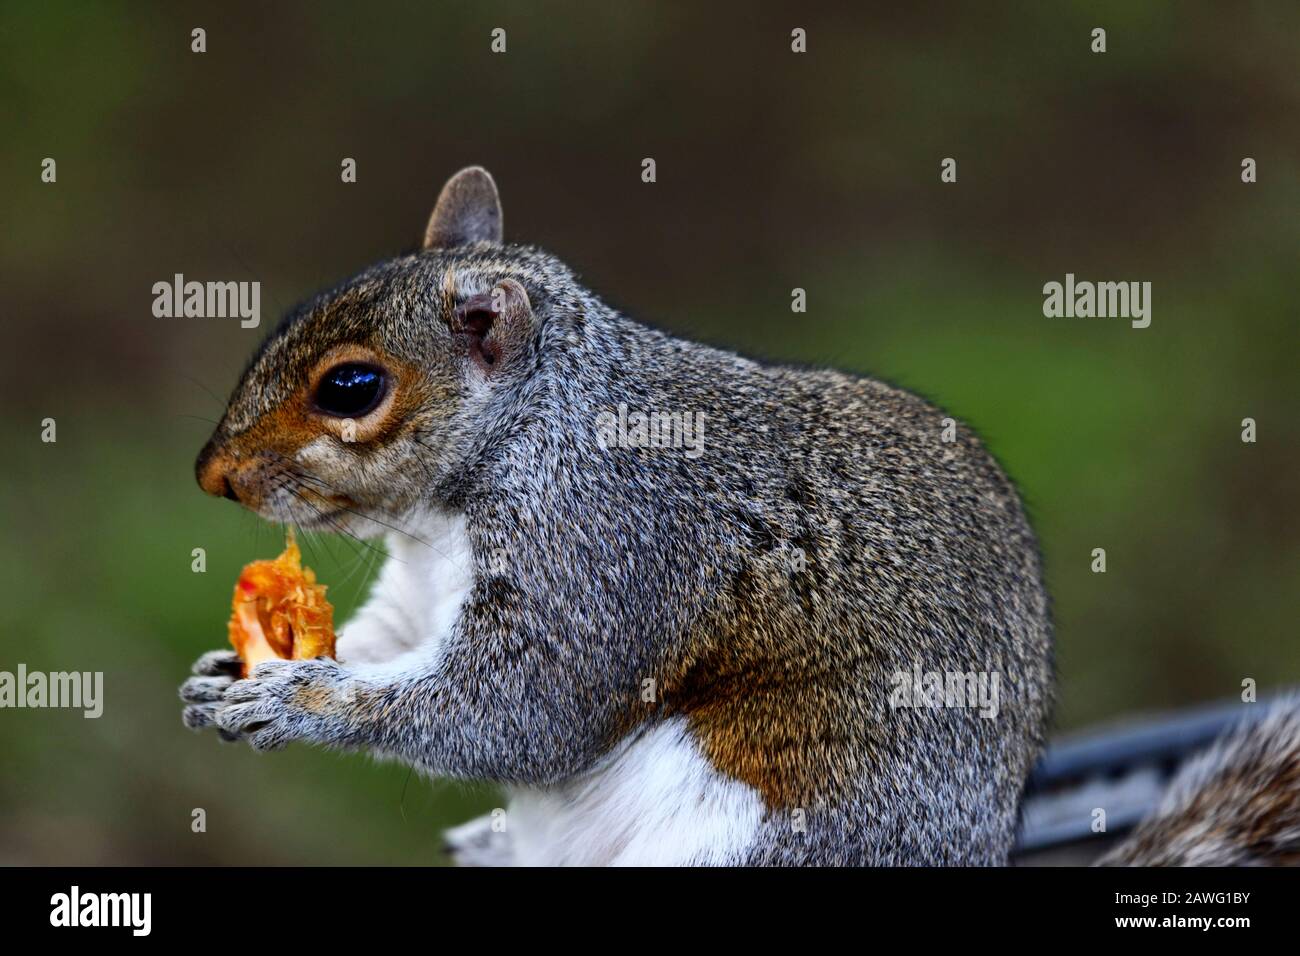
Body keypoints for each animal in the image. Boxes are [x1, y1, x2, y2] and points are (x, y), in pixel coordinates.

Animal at [181, 165, 1060, 865]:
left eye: (352, 388)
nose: (212, 474)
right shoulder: (417, 591)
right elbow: (389, 642)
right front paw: (223, 671)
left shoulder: (601, 543)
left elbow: (519, 709)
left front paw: (300, 701)